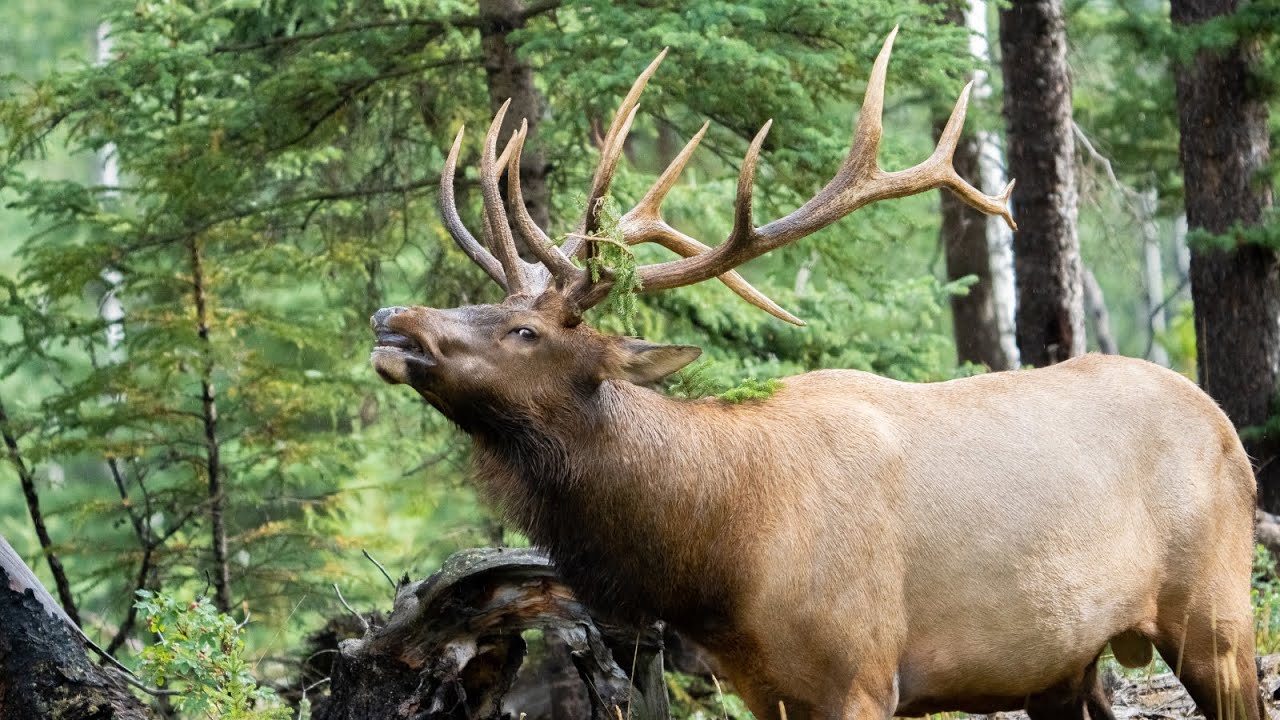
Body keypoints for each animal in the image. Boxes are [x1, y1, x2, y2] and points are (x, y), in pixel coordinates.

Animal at [370, 29, 1261, 720]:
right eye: (488, 302)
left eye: (523, 330)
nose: (392, 322)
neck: (719, 558)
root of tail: (1229, 431)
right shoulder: (765, 687)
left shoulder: (859, 674)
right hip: (1064, 664)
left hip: (1218, 616)